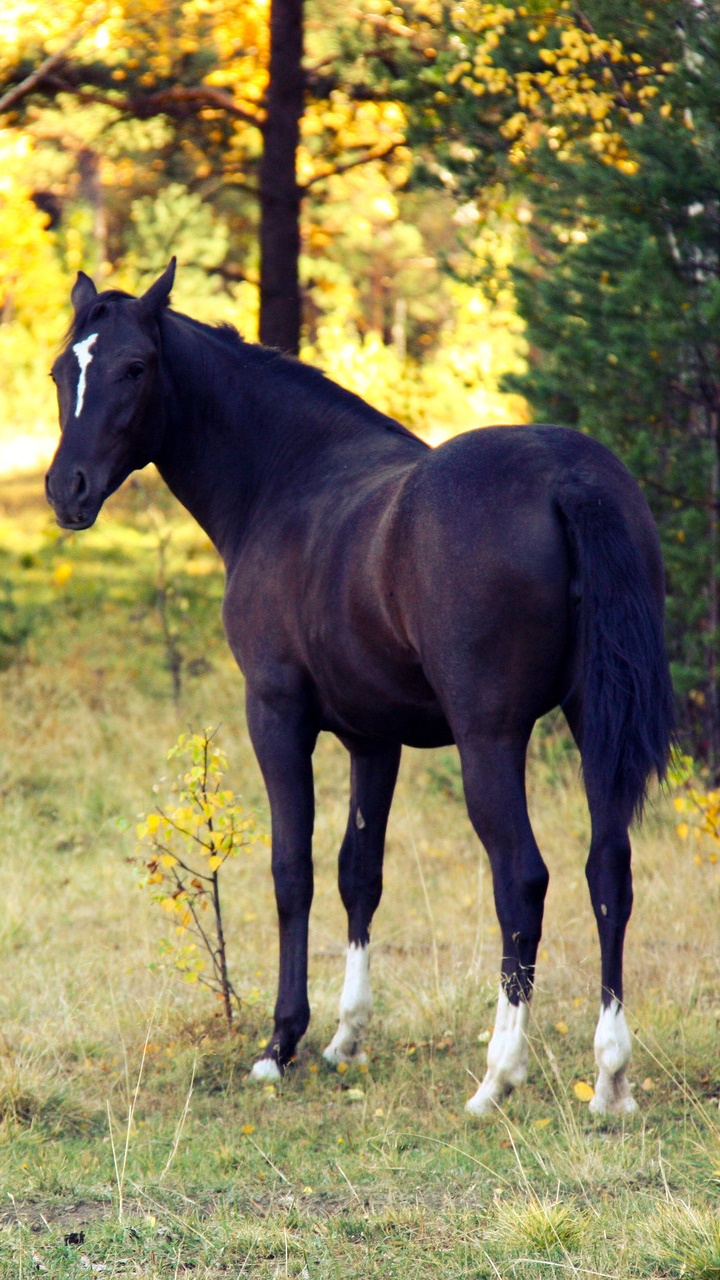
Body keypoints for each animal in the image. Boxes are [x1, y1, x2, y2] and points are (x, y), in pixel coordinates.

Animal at [45, 261, 674, 1116]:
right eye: (61, 371)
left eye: (134, 367)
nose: (66, 490)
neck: (287, 481)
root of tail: (571, 477)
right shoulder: (374, 739)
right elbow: (359, 874)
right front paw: (346, 1038)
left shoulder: (277, 716)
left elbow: (293, 871)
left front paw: (281, 1042)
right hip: (591, 723)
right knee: (608, 869)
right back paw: (610, 1079)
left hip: (491, 739)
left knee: (522, 880)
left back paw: (497, 1075)